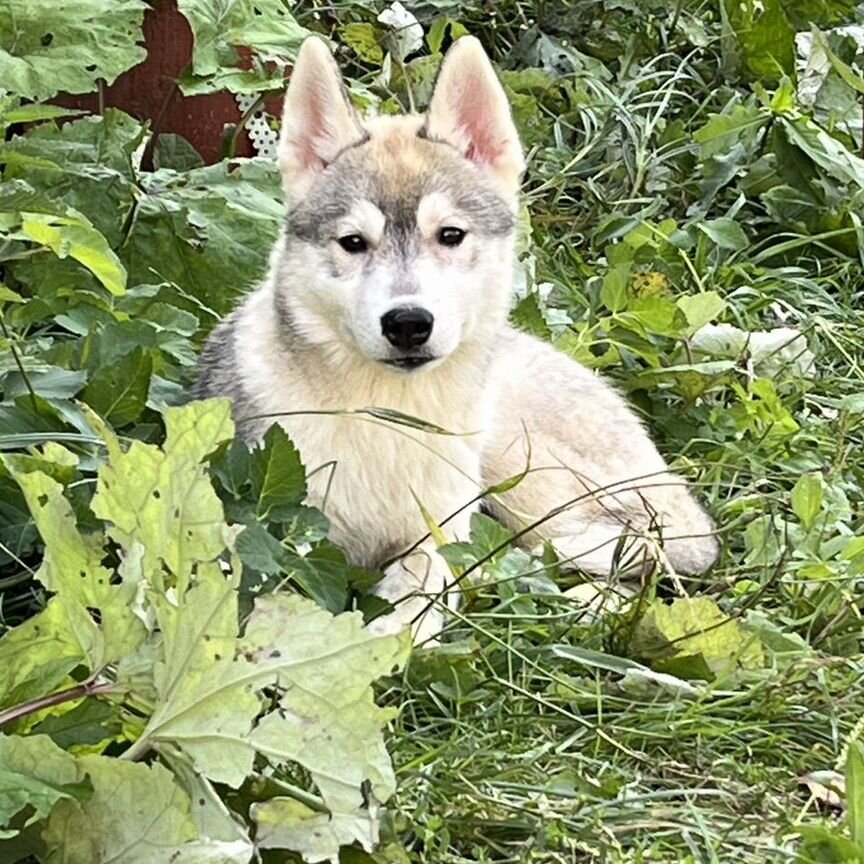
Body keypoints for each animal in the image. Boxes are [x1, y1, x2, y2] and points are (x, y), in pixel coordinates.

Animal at [196, 33, 716, 640]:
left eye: (449, 235)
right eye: (353, 242)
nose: (408, 322)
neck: (387, 419)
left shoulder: (435, 537)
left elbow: (411, 605)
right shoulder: (278, 531)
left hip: (524, 474)